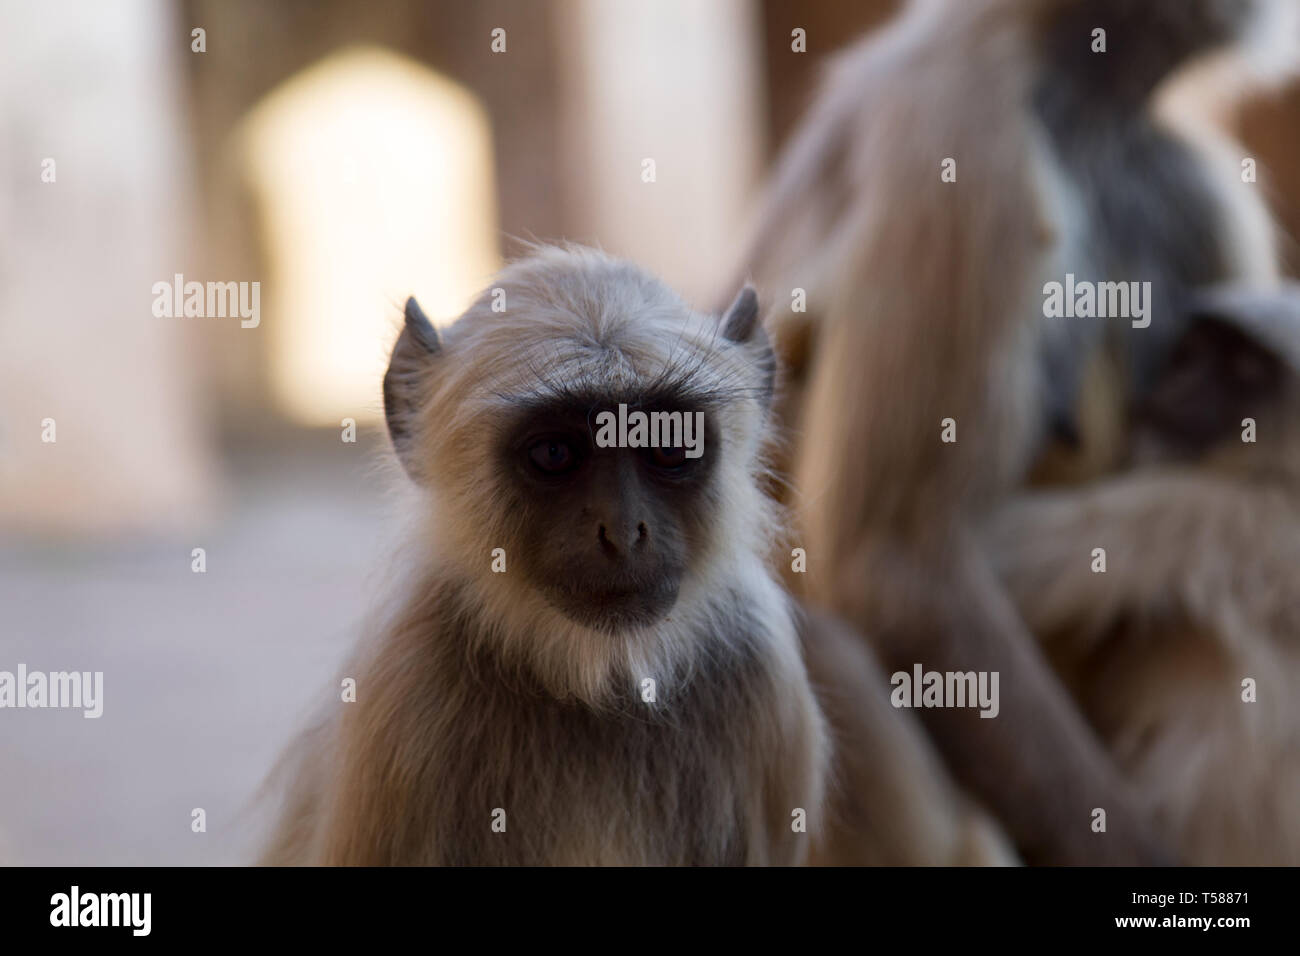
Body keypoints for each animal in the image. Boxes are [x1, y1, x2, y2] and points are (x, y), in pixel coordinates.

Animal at [258, 245, 1016, 866]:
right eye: (555, 454)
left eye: (670, 447)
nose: (623, 531)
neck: (594, 683)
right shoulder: (406, 689)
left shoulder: (758, 673)